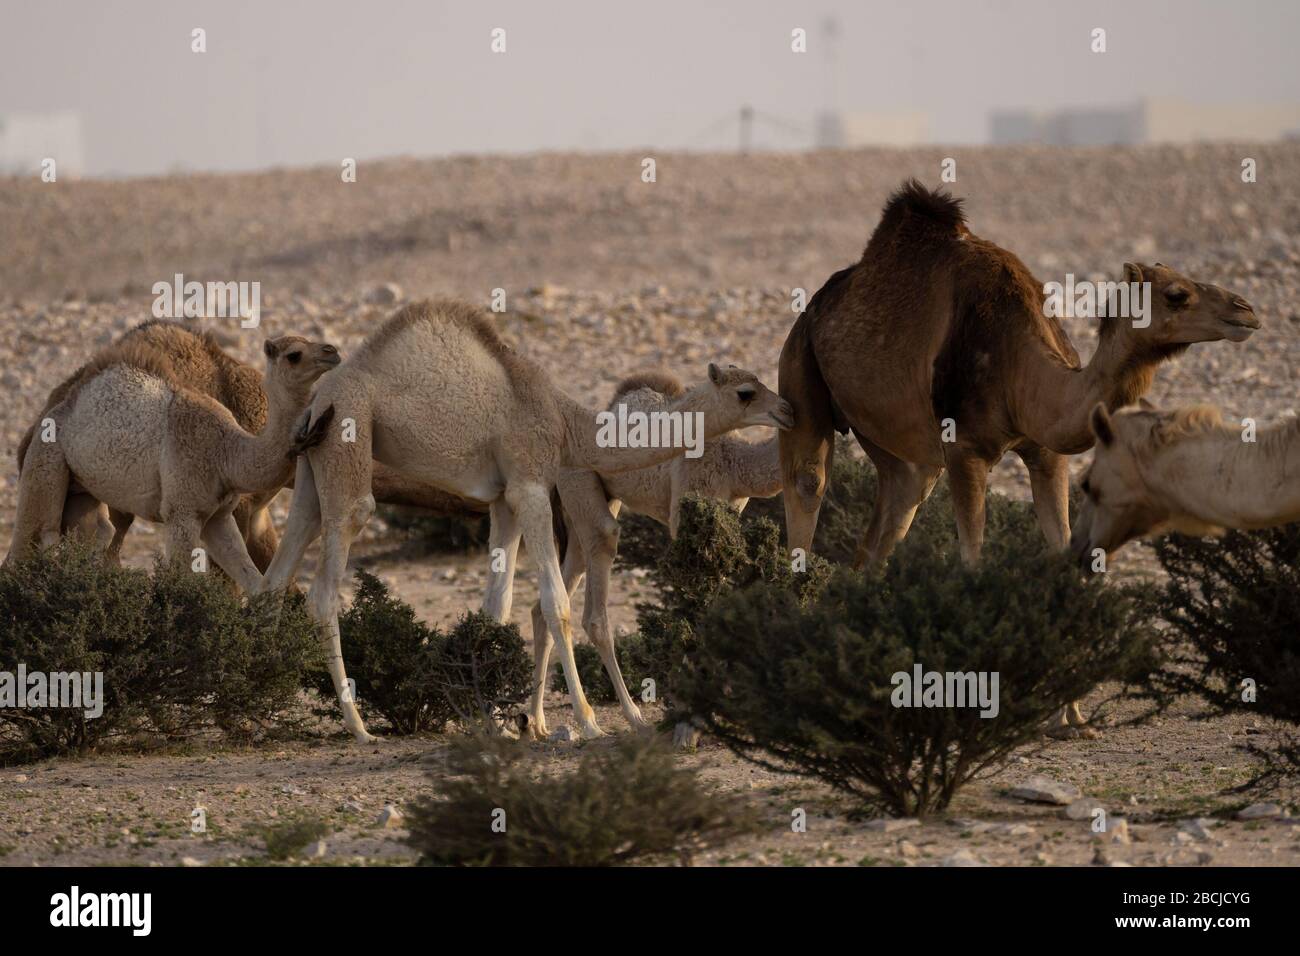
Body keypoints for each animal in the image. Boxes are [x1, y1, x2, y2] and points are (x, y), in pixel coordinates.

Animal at [6, 335, 340, 591]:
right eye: (294, 355)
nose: (332, 351)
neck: (228, 452)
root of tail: (55, 410)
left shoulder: (219, 516)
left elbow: (253, 582)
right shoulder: (182, 512)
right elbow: (183, 583)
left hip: (81, 492)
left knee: (94, 538)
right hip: (46, 461)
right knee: (26, 544)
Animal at [527, 370, 785, 734]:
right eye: (746, 392)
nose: (786, 410)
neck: (734, 464)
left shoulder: (727, 520)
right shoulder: (684, 518)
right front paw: (691, 710)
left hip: (589, 508)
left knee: (546, 603)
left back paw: (538, 723)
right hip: (581, 488)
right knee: (595, 606)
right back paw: (623, 717)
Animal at [779, 179, 1259, 574]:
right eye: (1177, 294)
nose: (1246, 310)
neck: (1020, 368)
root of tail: (817, 306)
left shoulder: (1047, 452)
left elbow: (1060, 542)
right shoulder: (964, 449)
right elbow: (972, 558)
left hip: (898, 447)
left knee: (893, 512)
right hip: (798, 363)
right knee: (808, 483)